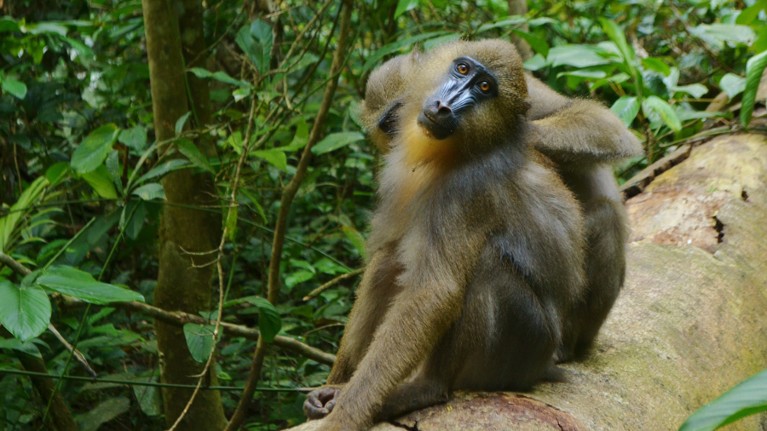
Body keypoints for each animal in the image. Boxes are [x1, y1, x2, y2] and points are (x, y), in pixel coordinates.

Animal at [304, 39, 590, 431]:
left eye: (484, 88)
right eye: (463, 69)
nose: (445, 104)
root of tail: (547, 364)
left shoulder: (467, 188)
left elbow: (434, 292)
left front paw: (346, 415)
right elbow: (389, 256)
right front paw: (335, 387)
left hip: (525, 346)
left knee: (484, 267)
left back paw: (427, 387)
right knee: (390, 263)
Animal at [356, 44, 643, 361]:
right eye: (390, 124)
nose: (443, 107)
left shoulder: (525, 91)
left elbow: (603, 123)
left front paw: (520, 133)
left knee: (605, 213)